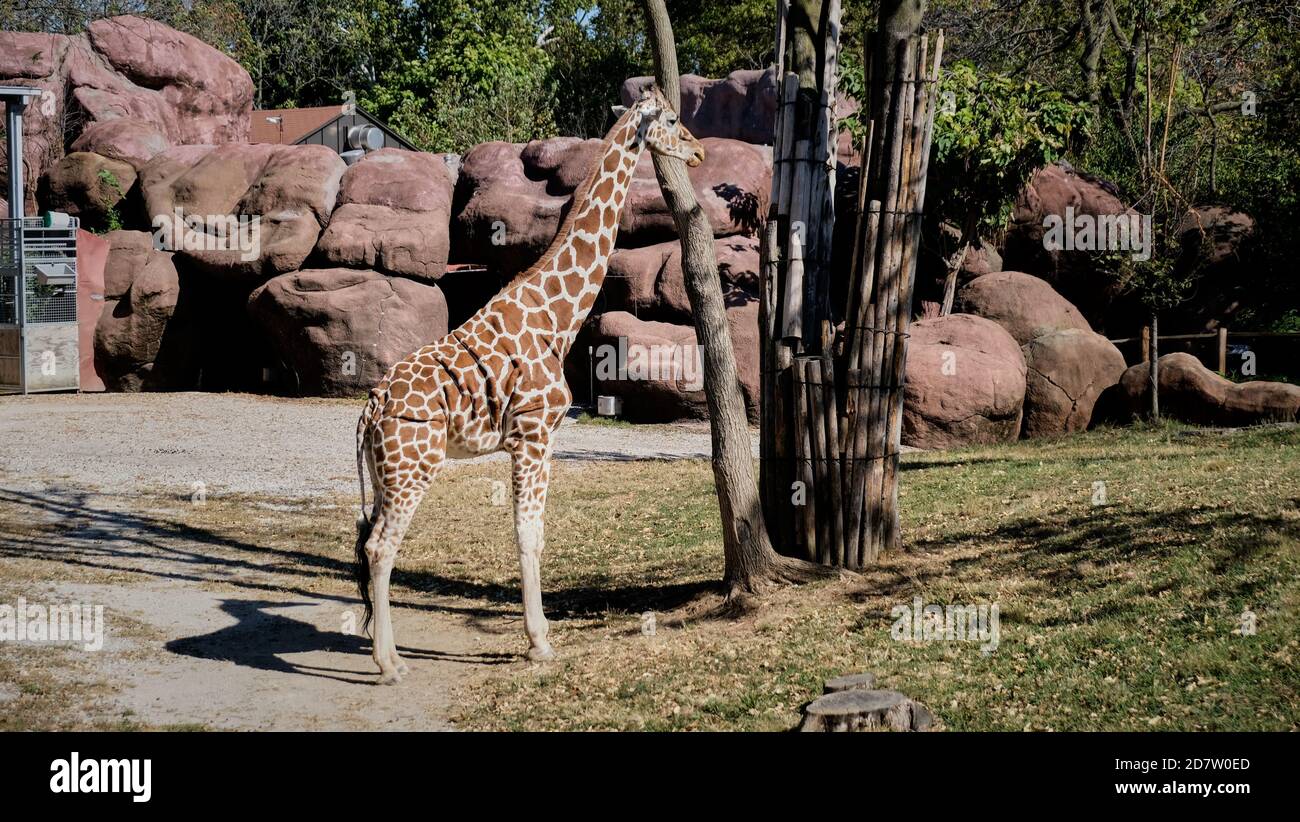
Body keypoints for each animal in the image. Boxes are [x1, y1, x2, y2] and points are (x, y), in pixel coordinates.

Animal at [352, 87, 705, 683]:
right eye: (675, 119)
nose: (700, 150)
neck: (557, 314)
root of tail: (371, 409)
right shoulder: (534, 434)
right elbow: (528, 533)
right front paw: (539, 642)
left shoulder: (531, 439)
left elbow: (532, 532)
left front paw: (538, 637)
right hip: (413, 469)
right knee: (381, 548)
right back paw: (389, 663)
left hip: (384, 476)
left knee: (369, 544)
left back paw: (385, 649)